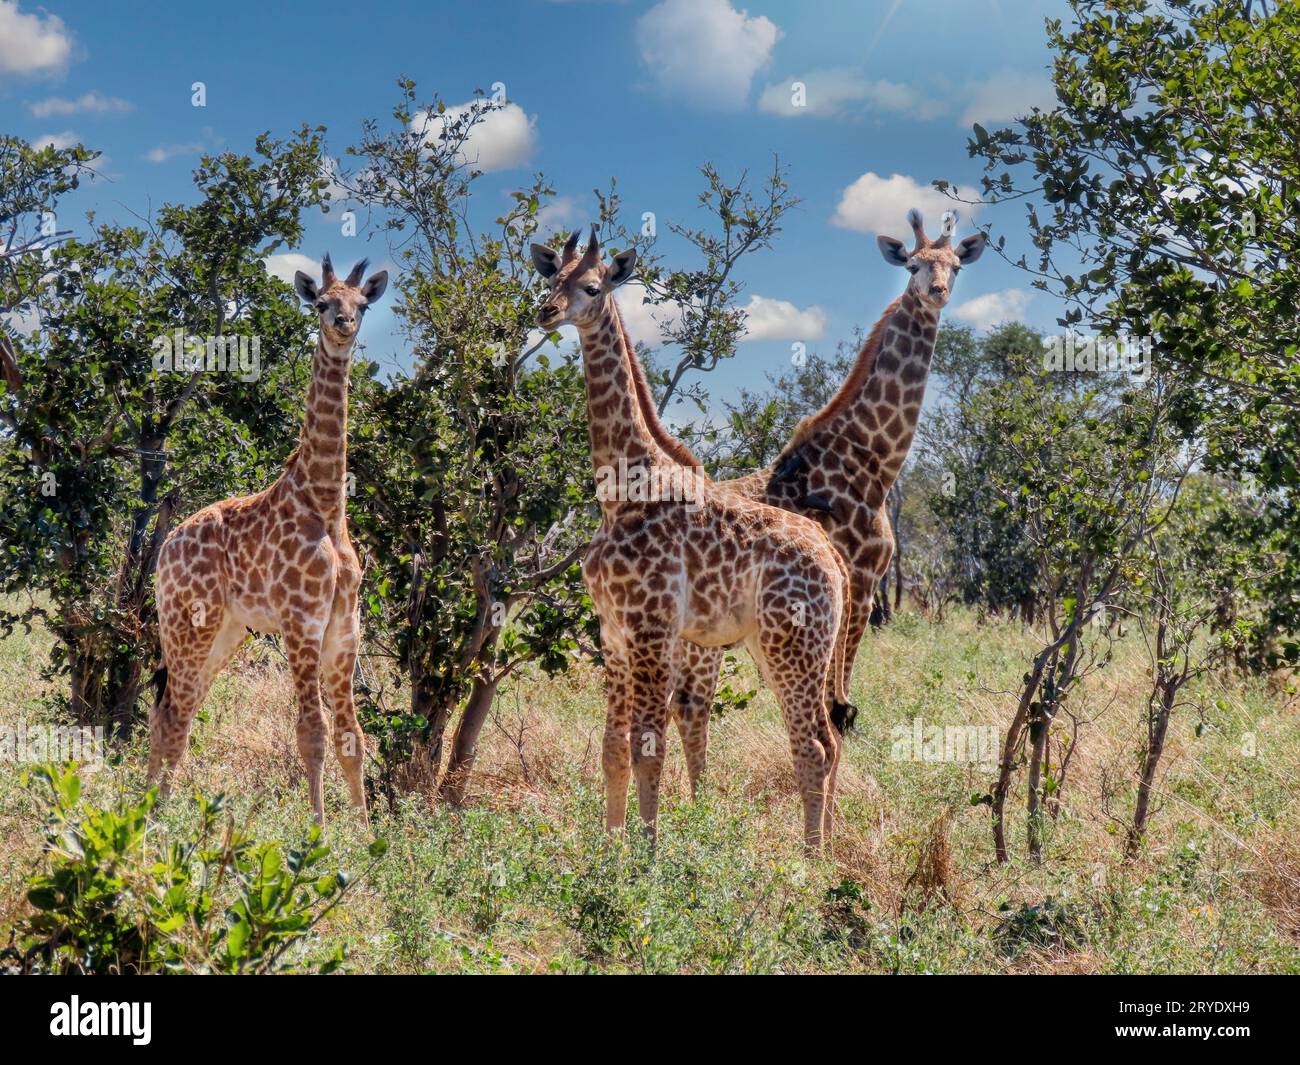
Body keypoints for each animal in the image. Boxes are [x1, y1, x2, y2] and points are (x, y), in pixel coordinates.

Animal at [147, 255, 388, 824]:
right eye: (321, 302)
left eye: (362, 304)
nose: (343, 325)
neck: (325, 504)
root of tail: (165, 549)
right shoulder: (301, 623)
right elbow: (312, 734)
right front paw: (319, 830)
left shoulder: (345, 630)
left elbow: (352, 736)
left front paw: (368, 832)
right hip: (187, 622)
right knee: (172, 713)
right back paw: (148, 814)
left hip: (227, 631)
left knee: (175, 709)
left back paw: (153, 806)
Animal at [532, 229, 857, 851]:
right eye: (551, 279)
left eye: (592, 286)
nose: (547, 312)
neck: (621, 492)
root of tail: (834, 558)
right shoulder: (613, 633)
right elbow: (614, 751)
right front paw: (609, 853)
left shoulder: (652, 629)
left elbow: (648, 750)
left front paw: (649, 855)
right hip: (781, 646)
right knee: (828, 741)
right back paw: (826, 851)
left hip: (793, 643)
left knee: (812, 745)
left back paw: (811, 861)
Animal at [655, 210, 987, 795]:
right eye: (914, 266)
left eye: (955, 267)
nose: (938, 292)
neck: (871, 466)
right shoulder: (862, 579)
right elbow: (840, 709)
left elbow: (836, 712)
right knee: (689, 706)